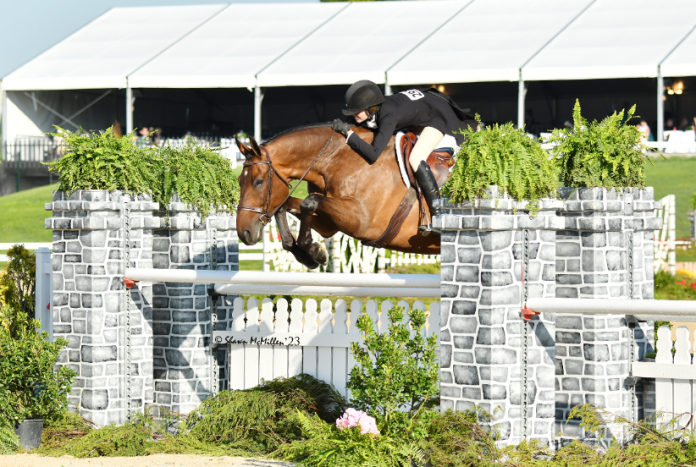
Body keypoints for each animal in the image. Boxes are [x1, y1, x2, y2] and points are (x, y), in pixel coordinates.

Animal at [235, 123, 440, 269]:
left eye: (258, 182)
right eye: (239, 180)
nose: (244, 233)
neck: (336, 161)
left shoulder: (361, 221)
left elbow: (309, 203)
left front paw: (315, 251)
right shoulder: (329, 224)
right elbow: (285, 206)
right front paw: (303, 254)